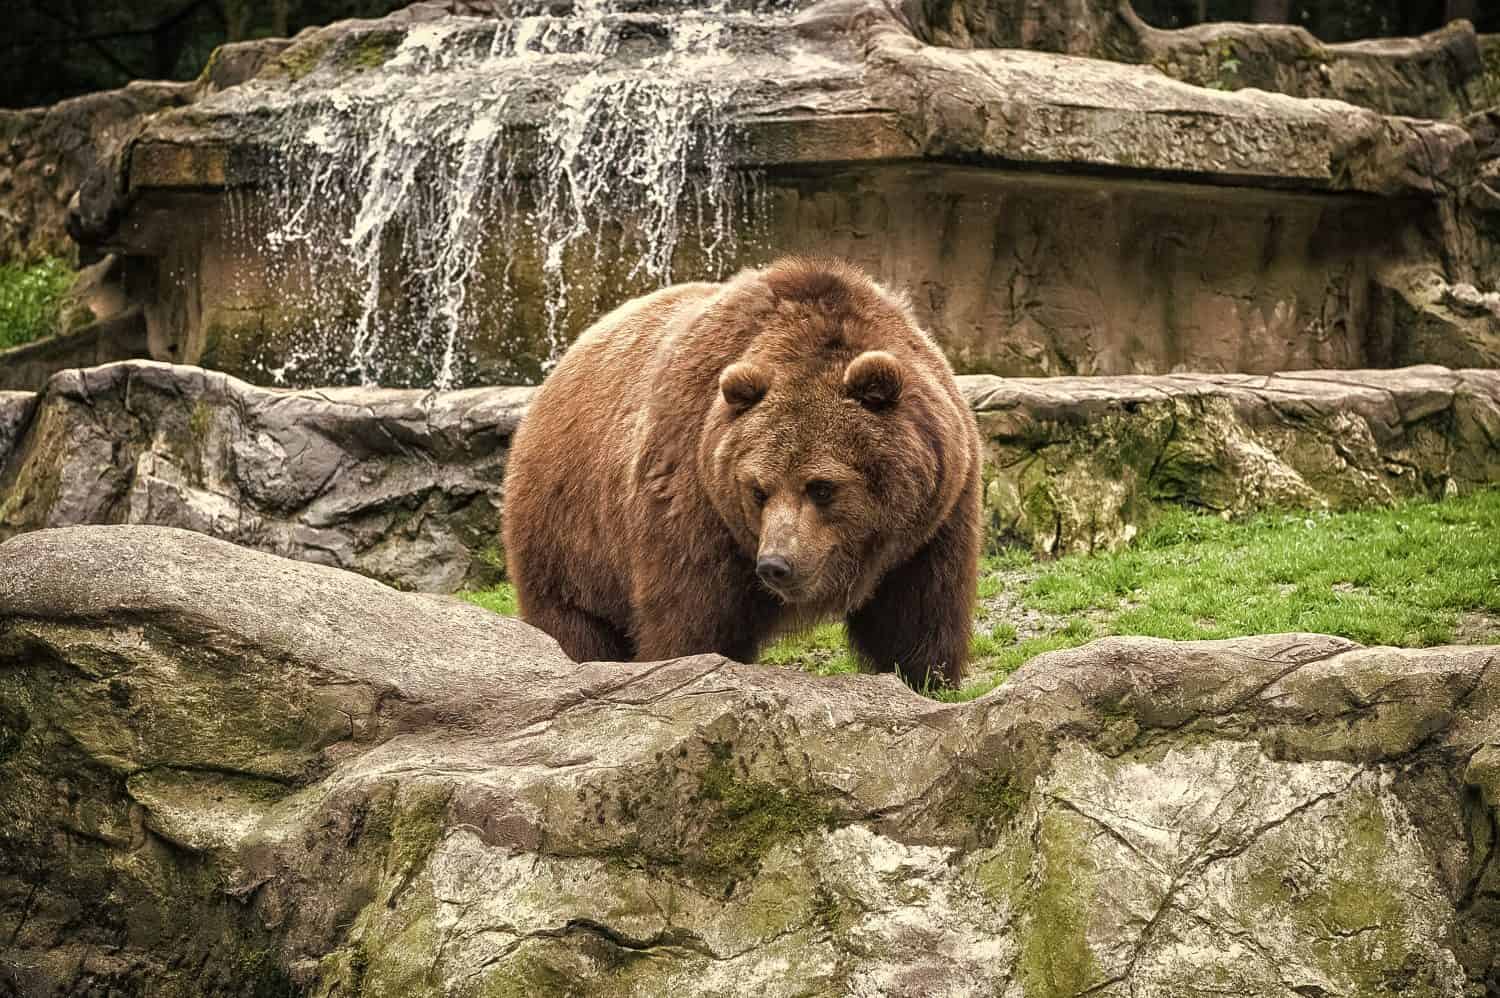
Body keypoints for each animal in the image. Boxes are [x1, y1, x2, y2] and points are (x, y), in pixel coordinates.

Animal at [501, 256, 982, 688]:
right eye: (758, 490)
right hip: (570, 531)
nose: (776, 564)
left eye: (821, 487)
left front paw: (926, 680)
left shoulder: (936, 516)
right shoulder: (696, 492)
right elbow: (691, 616)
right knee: (574, 619)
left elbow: (918, 613)